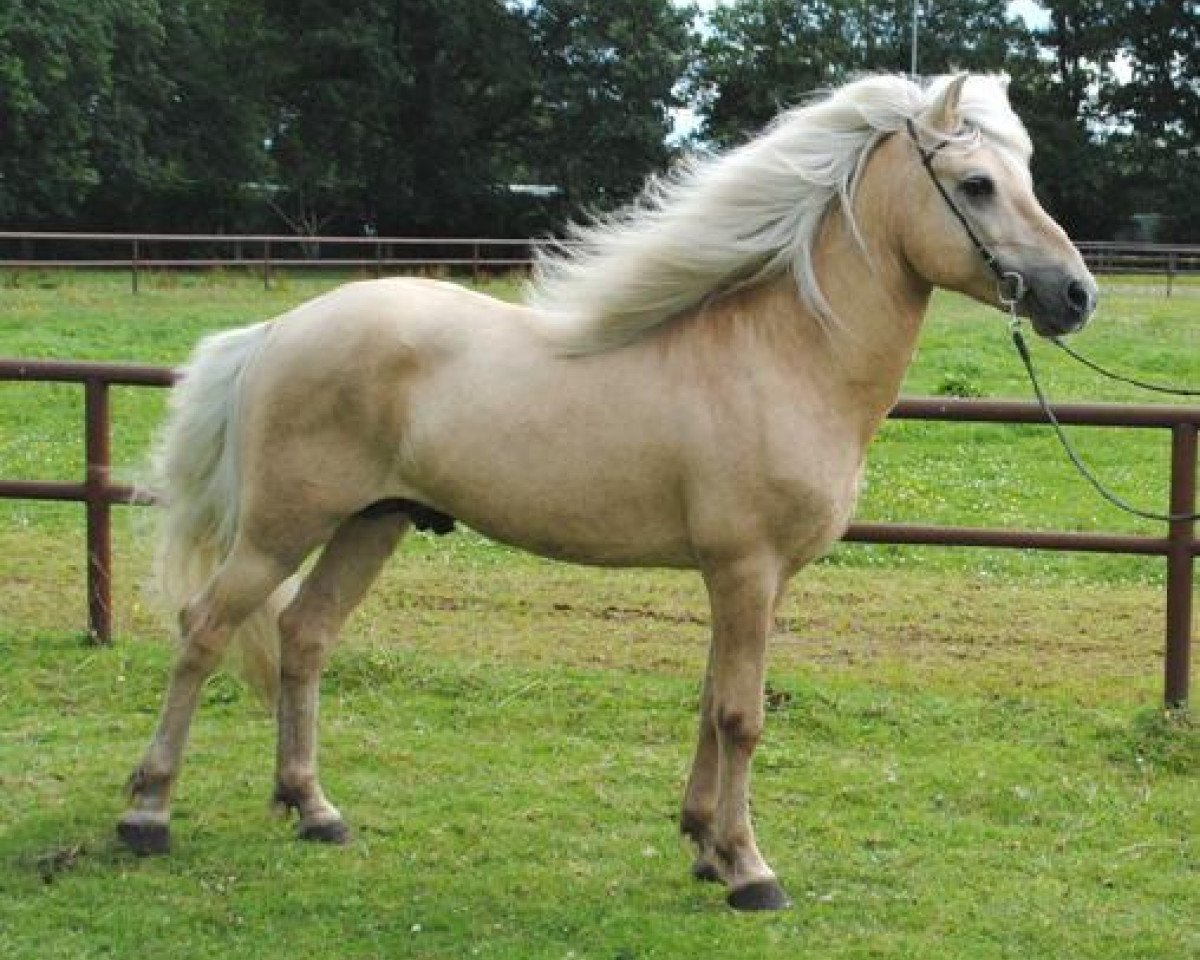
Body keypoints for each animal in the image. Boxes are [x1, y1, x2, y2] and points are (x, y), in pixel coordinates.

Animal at [117, 73, 1097, 911]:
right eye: (976, 184)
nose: (1076, 295)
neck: (783, 355)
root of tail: (277, 329)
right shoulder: (746, 570)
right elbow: (742, 715)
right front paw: (750, 870)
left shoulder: (750, 581)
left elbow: (709, 704)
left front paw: (704, 846)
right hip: (280, 529)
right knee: (202, 632)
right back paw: (146, 815)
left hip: (370, 525)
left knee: (304, 635)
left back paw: (314, 809)